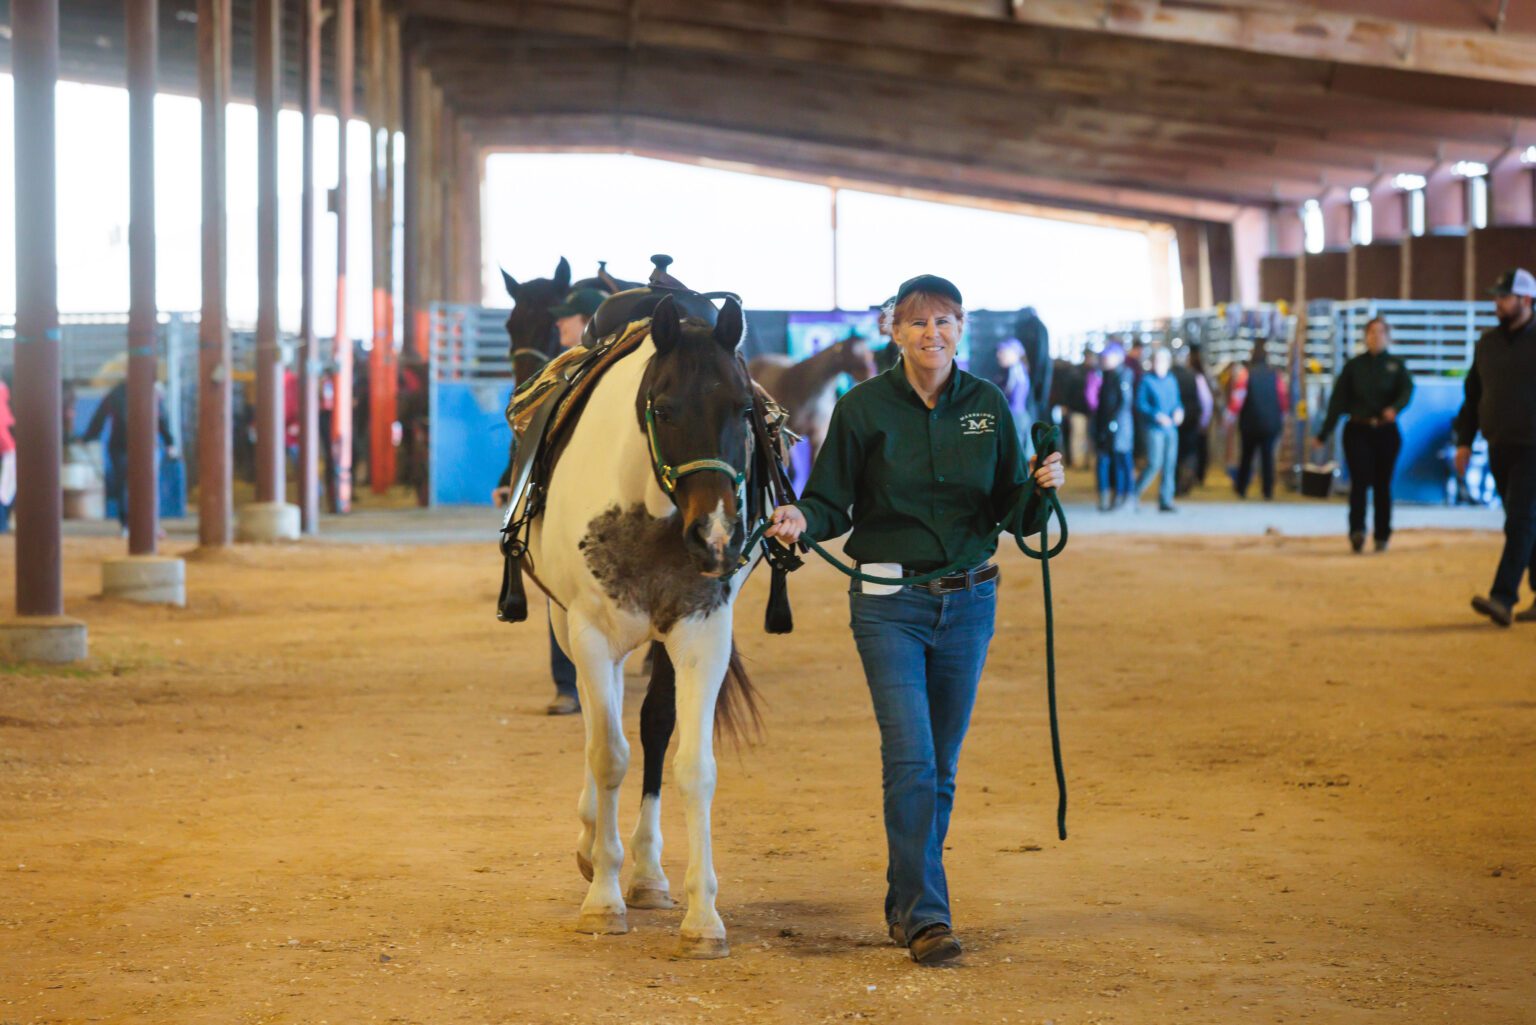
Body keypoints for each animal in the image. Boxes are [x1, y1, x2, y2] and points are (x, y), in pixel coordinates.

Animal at [515, 292, 767, 959]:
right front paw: (603, 898)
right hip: (567, 624)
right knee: (595, 725)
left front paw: (703, 918)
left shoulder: (701, 635)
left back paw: (649, 874)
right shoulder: (592, 633)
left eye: (744, 409)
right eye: (664, 408)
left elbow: (691, 766)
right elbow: (608, 755)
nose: (716, 538)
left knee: (652, 730)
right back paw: (591, 843)